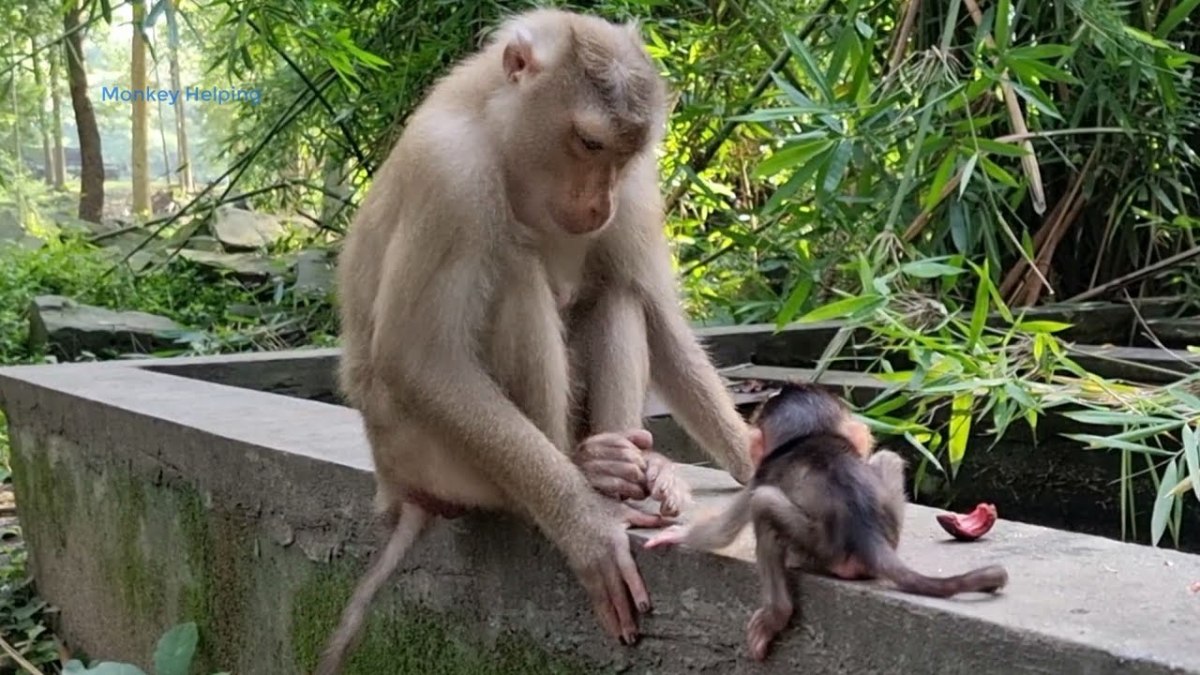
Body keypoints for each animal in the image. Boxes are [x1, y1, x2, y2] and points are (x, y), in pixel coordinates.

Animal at [317, 9, 755, 674]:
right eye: (590, 143)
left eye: (623, 154)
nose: (600, 203)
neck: (499, 132)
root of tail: (398, 488)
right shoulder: (451, 173)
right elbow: (420, 360)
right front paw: (587, 530)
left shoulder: (636, 188)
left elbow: (653, 309)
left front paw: (753, 452)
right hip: (439, 460)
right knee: (515, 272)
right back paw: (582, 480)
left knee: (617, 295)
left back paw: (627, 466)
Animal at [644, 382, 1008, 662]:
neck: (808, 436)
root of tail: (868, 537)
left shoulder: (761, 475)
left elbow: (722, 532)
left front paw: (677, 535)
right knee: (887, 458)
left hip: (821, 549)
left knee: (765, 505)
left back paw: (776, 613)